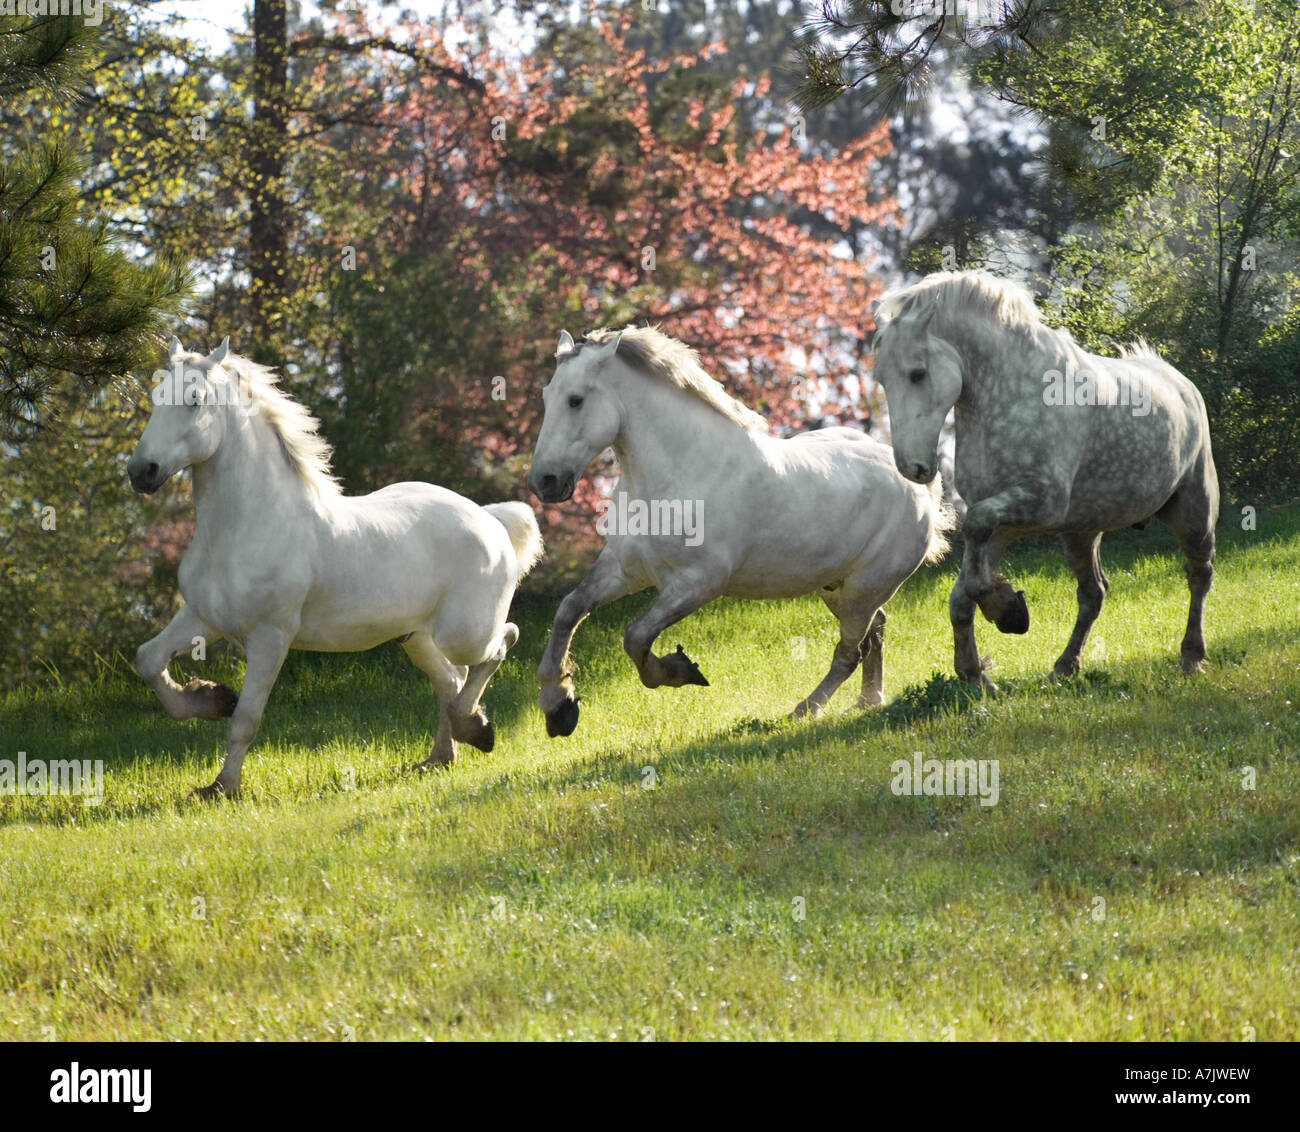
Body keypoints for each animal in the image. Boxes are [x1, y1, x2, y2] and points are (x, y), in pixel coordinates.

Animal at [127, 337, 543, 797]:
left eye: (195, 399)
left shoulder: (270, 637)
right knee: (451, 680)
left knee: (502, 642)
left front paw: (222, 787)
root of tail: (491, 520)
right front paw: (212, 699)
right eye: (154, 397)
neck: (244, 526)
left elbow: (246, 719)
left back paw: (476, 729)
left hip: (463, 633)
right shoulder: (203, 617)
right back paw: (440, 756)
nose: (141, 472)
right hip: (416, 637)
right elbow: (148, 660)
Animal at [525, 326, 954, 736]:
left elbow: (635, 637)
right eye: (547, 396)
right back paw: (868, 701)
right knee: (876, 630)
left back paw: (804, 710)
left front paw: (683, 670)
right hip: (839, 588)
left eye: (576, 400)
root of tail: (922, 485)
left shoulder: (698, 582)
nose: (543, 482)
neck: (681, 471)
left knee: (850, 652)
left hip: (863, 591)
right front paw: (558, 706)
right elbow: (569, 610)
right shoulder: (625, 569)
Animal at [872, 270, 1219, 689]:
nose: (913, 467)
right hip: (1080, 532)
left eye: (917, 373)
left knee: (1199, 575)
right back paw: (1065, 666)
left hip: (1193, 511)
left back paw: (1192, 656)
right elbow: (963, 593)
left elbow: (974, 571)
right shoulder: (1002, 522)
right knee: (1093, 593)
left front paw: (1006, 612)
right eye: (882, 379)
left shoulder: (1040, 504)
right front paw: (976, 673)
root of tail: (1181, 383)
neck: (1012, 392)